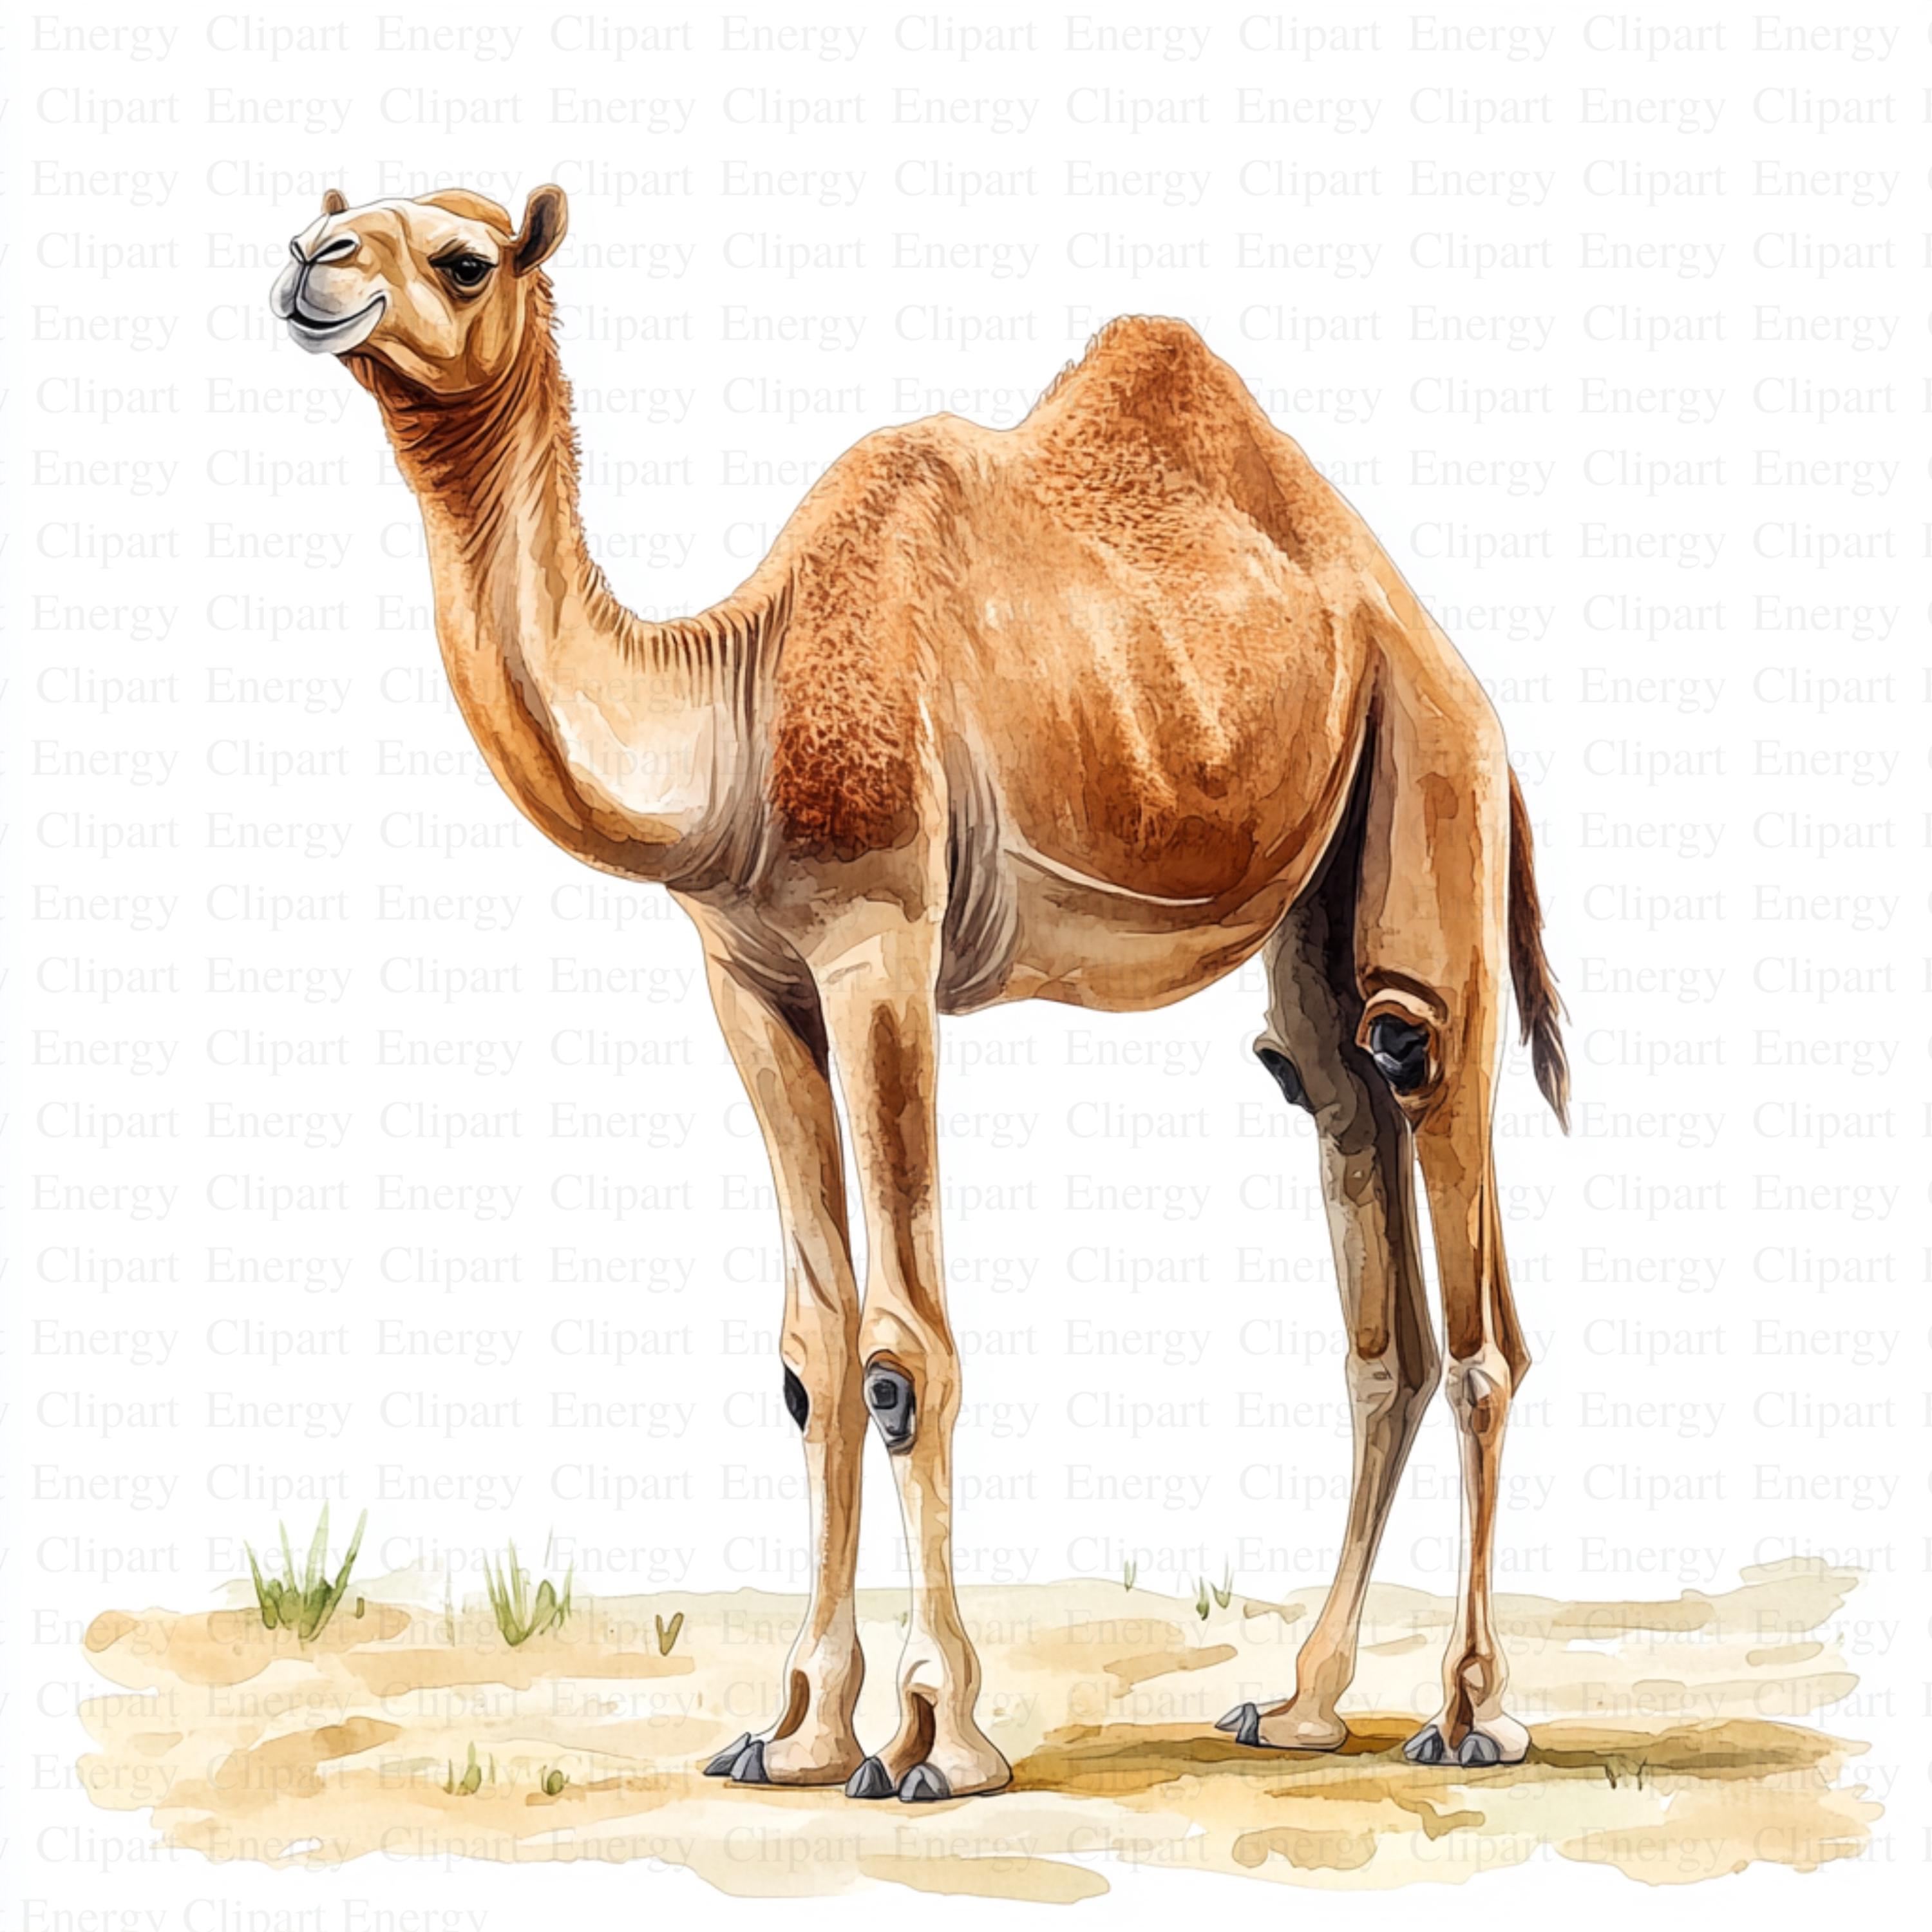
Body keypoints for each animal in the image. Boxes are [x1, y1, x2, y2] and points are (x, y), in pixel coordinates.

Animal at [271, 186, 1569, 1801]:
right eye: (343, 219)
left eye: (462, 258)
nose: (310, 267)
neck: (737, 709)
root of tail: (1456, 670)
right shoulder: (751, 977)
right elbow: (814, 1353)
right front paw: (794, 1732)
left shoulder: (880, 941)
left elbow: (905, 1352)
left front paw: (940, 1739)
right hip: (1319, 908)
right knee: (1357, 1217)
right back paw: (1304, 1701)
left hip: (1432, 799)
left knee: (1458, 1222)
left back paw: (1472, 1715)